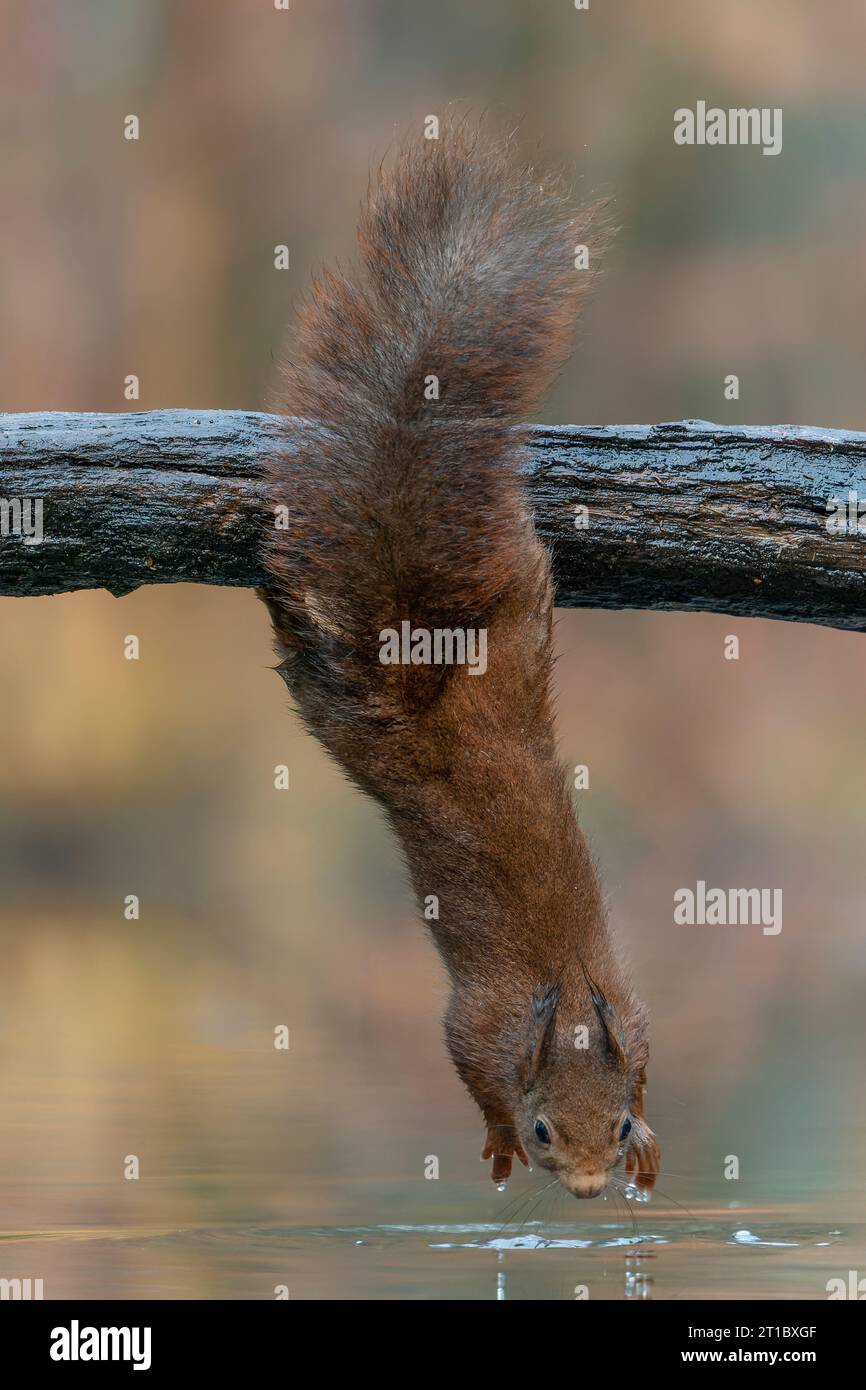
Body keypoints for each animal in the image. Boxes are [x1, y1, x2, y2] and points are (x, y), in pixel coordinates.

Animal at [261, 119, 660, 1200]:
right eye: (543, 1131)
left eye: (610, 1126)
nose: (588, 1191)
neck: (566, 996)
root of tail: (426, 683)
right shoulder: (476, 1020)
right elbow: (468, 1065)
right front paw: (489, 1139)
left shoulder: (631, 1012)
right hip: (366, 703)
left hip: (515, 612)